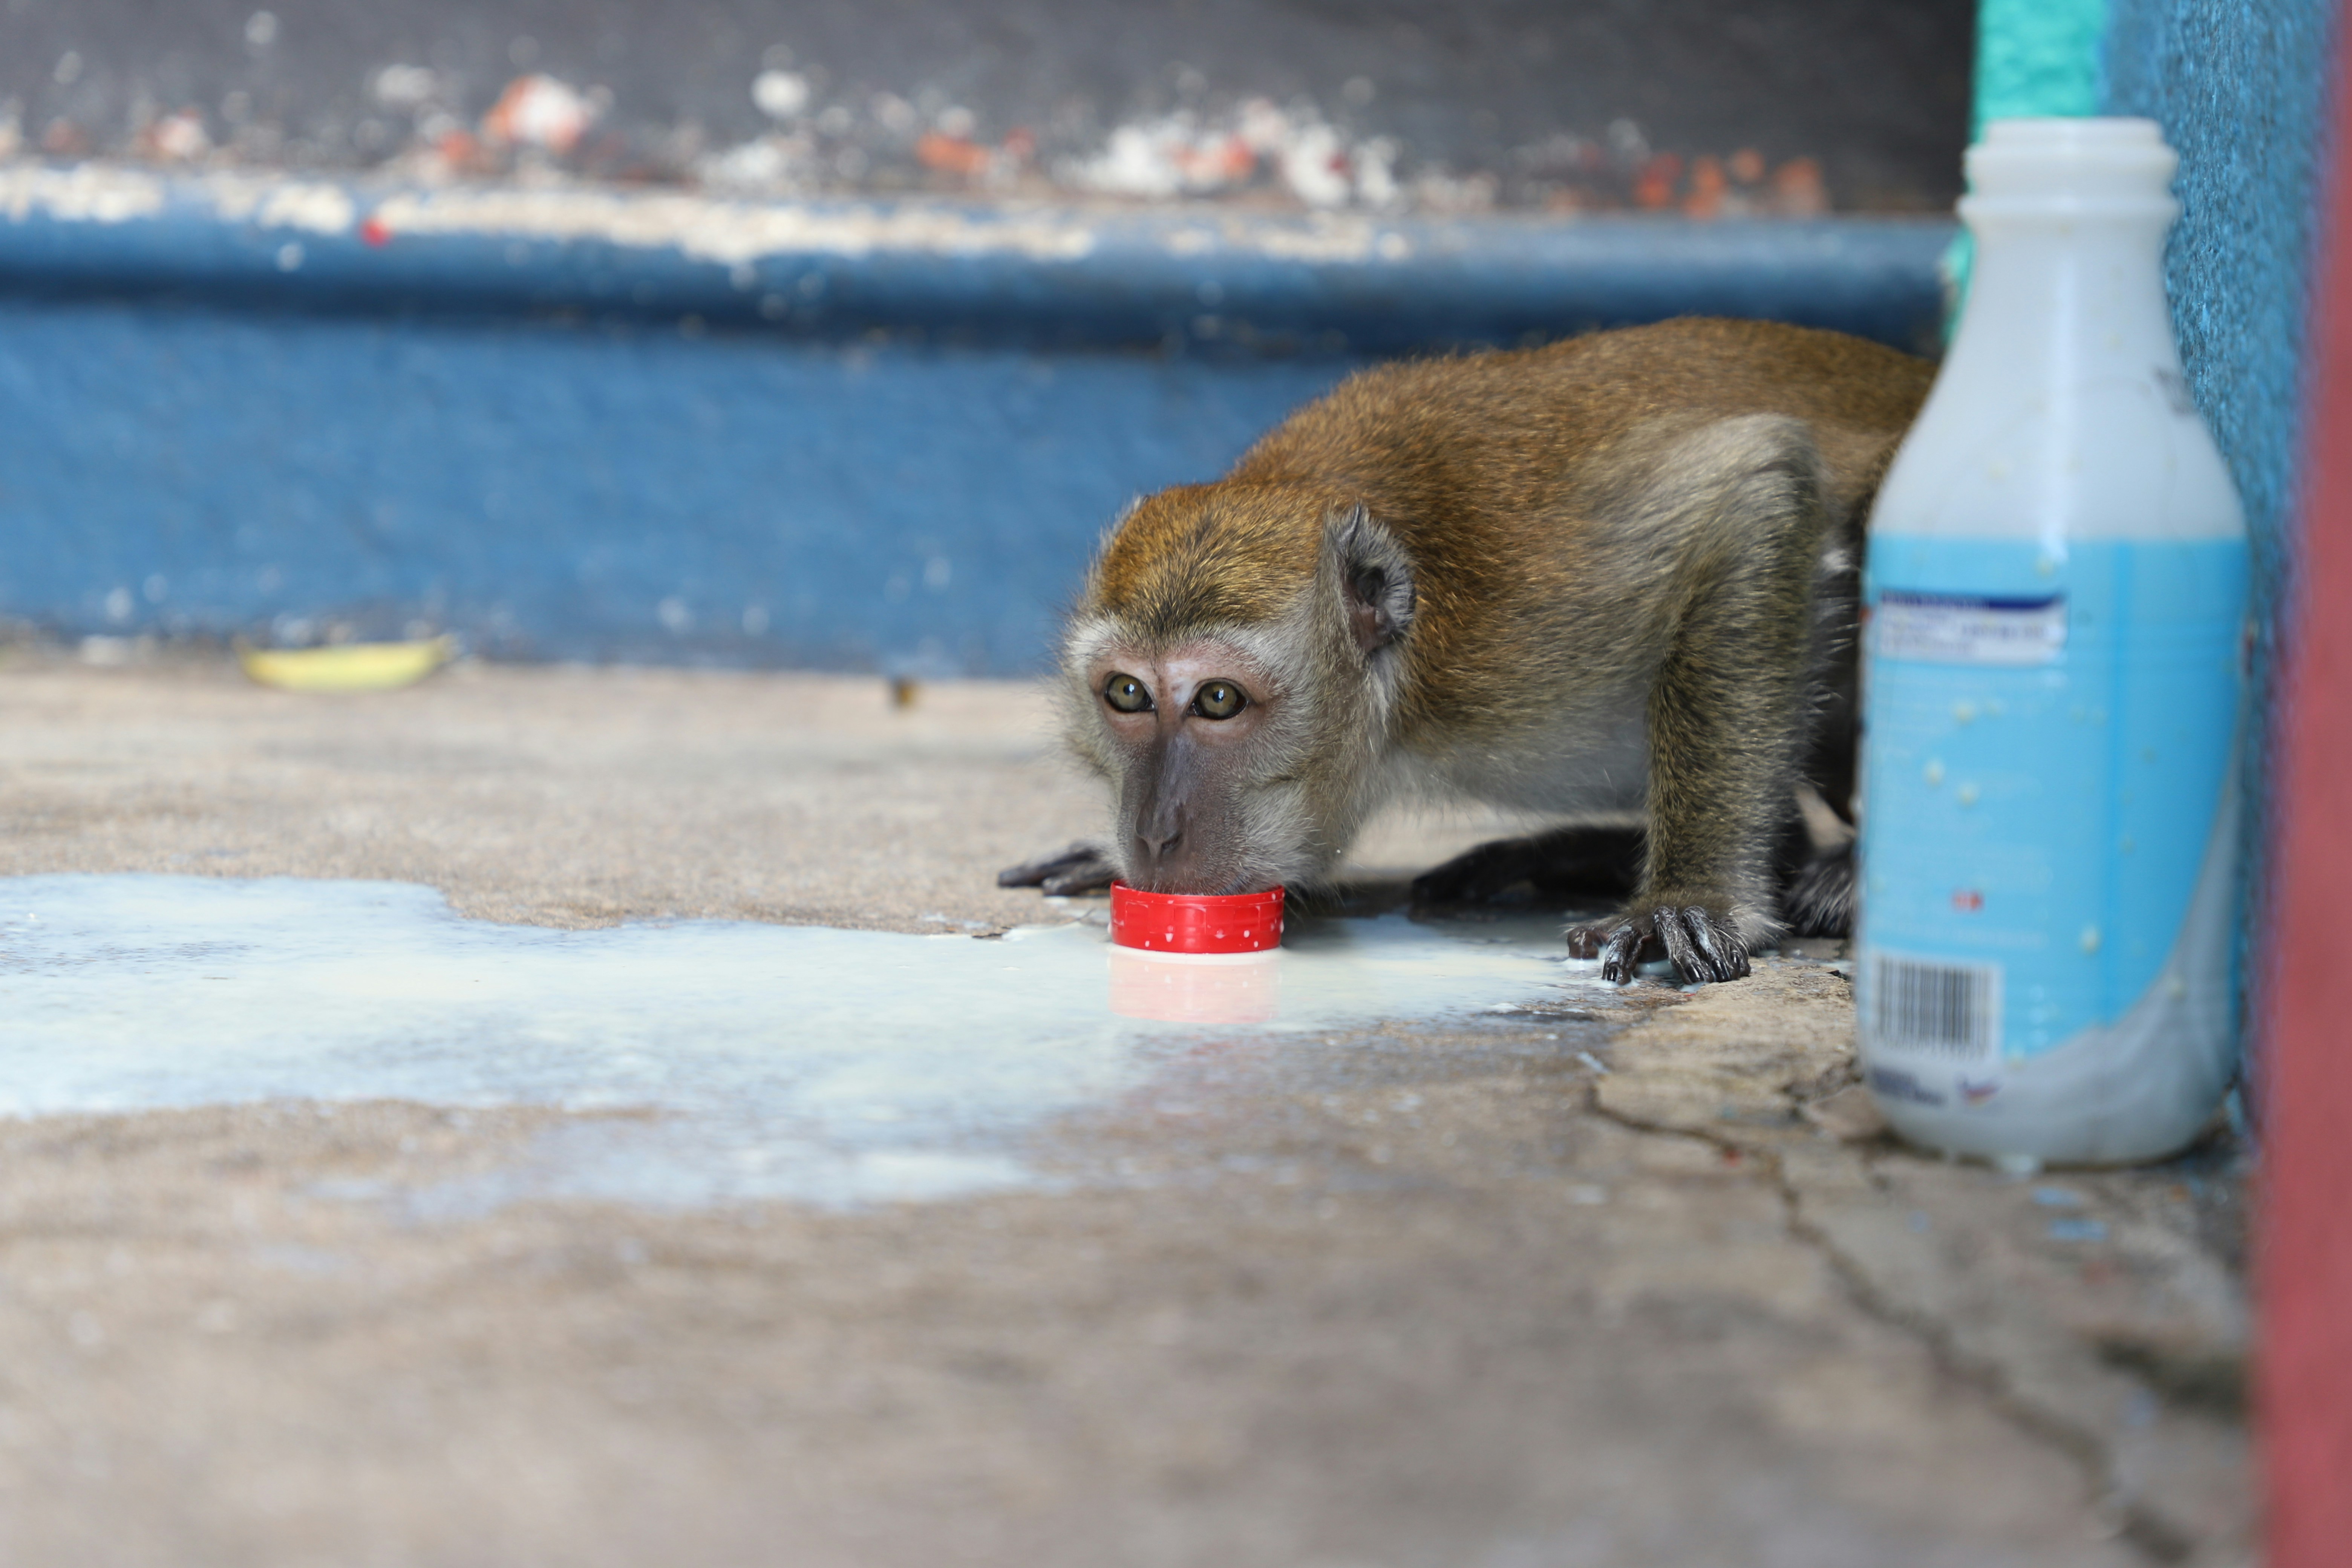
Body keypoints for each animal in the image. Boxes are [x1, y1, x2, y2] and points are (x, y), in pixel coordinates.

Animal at [999, 317, 1934, 985]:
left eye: (1218, 700)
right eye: (1127, 694)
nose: (1155, 833)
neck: (1403, 699)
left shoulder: (1527, 623)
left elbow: (1755, 489)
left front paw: (1692, 895)